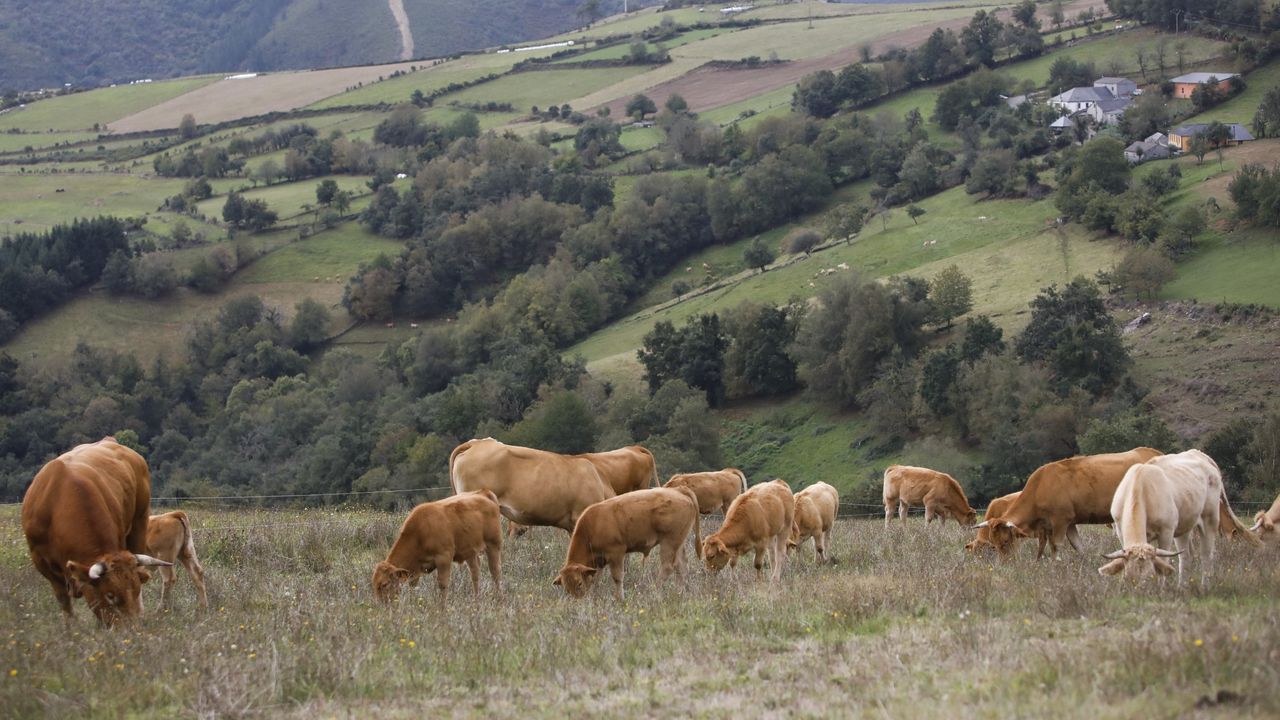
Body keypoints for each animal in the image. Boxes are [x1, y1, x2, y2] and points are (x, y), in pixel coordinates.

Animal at [21, 438, 171, 626]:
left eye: (135, 591)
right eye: (110, 595)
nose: (131, 628)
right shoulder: (40, 560)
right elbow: (64, 600)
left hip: (139, 522)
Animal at [372, 489, 502, 605]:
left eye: (384, 584)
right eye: (374, 583)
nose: (381, 605)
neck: (420, 532)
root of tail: (483, 492)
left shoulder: (443, 558)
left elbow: (442, 585)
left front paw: (442, 608)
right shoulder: (416, 569)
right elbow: (412, 586)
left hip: (493, 545)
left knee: (495, 571)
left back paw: (498, 599)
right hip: (470, 551)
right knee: (475, 573)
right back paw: (476, 601)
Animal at [553, 486, 701, 600]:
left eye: (579, 583)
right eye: (566, 588)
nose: (578, 601)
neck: (593, 525)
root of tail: (679, 490)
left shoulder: (616, 554)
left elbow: (617, 577)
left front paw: (620, 598)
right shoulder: (599, 560)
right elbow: (596, 579)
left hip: (669, 543)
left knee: (668, 567)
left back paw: (654, 591)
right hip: (678, 544)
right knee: (681, 567)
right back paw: (680, 593)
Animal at [975, 447, 1163, 560]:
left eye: (1006, 541)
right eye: (993, 544)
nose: (1006, 563)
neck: (1040, 486)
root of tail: (1153, 452)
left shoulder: (1060, 521)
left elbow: (1056, 546)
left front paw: (1056, 564)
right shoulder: (1068, 524)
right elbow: (1077, 546)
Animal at [1099, 449, 1248, 583]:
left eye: (1151, 576)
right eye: (1128, 578)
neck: (1141, 489)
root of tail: (1200, 454)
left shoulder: (1166, 532)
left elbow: (1163, 564)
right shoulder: (1120, 532)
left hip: (1210, 520)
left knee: (1206, 555)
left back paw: (1205, 586)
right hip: (1185, 526)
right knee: (1186, 557)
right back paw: (1182, 587)